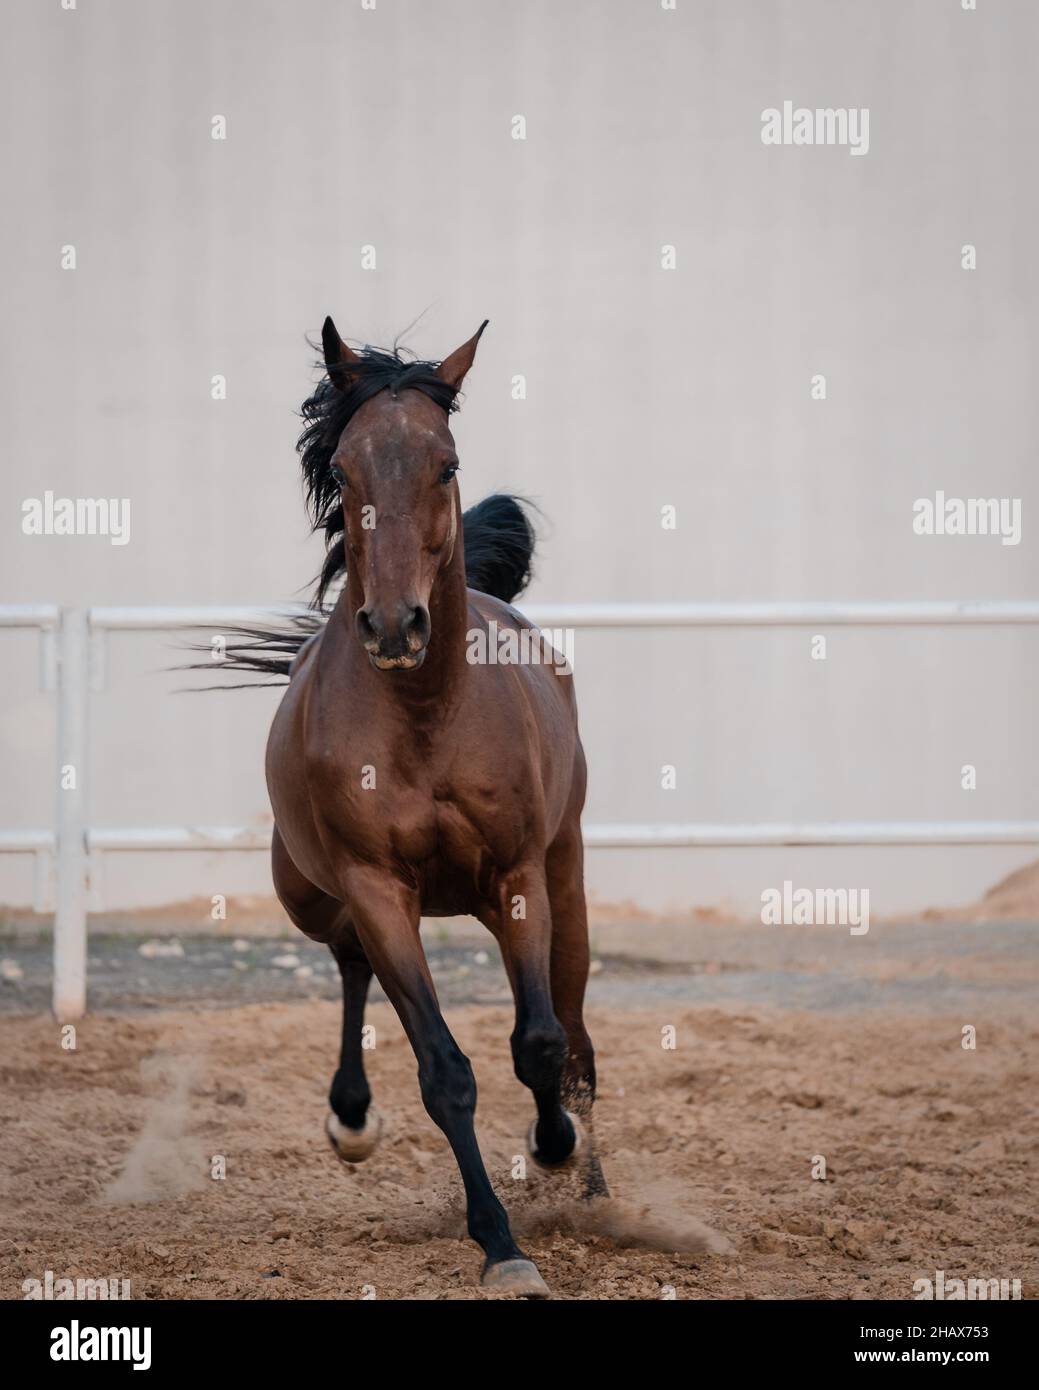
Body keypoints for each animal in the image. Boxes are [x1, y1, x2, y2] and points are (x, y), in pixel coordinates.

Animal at [219, 317, 606, 1298]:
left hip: (564, 877)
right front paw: (500, 1244)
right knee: (352, 964)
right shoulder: (376, 888)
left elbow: (539, 1043)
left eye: (445, 462)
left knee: (577, 1034)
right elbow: (444, 1072)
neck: (427, 716)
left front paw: (551, 1149)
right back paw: (351, 1120)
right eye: (342, 469)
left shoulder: (517, 877)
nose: (395, 627)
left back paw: (591, 1180)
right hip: (313, 896)